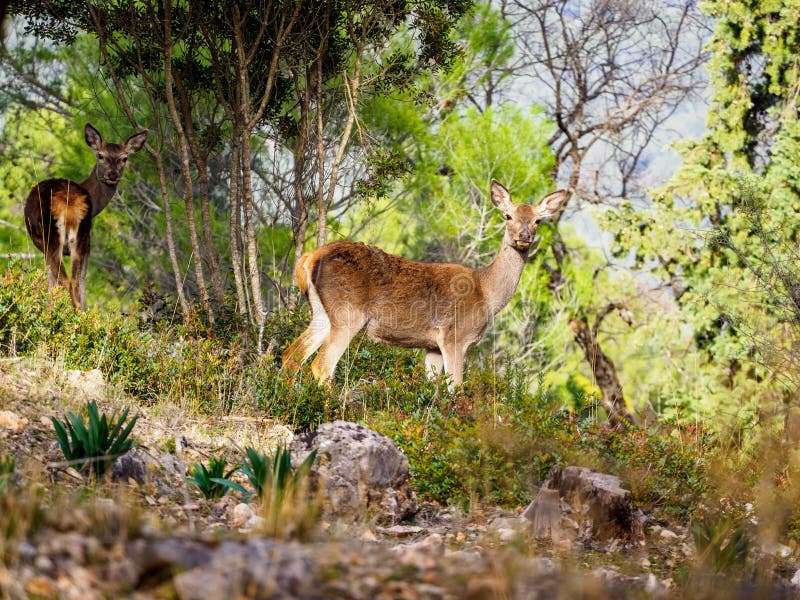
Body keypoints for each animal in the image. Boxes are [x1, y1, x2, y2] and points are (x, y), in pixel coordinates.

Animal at [24, 123, 148, 310]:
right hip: (79, 239)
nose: (113, 175)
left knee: (69, 281)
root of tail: (68, 202)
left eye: (124, 158)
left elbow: (54, 285)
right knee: (73, 281)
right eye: (100, 155)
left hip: (55, 238)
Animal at [282, 180, 570, 389]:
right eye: (508, 216)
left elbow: (433, 388)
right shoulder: (455, 336)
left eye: (538, 220)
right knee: (321, 366)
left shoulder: (432, 345)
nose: (525, 236)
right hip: (348, 312)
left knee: (291, 355)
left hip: (321, 312)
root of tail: (309, 257)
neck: (487, 294)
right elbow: (456, 388)